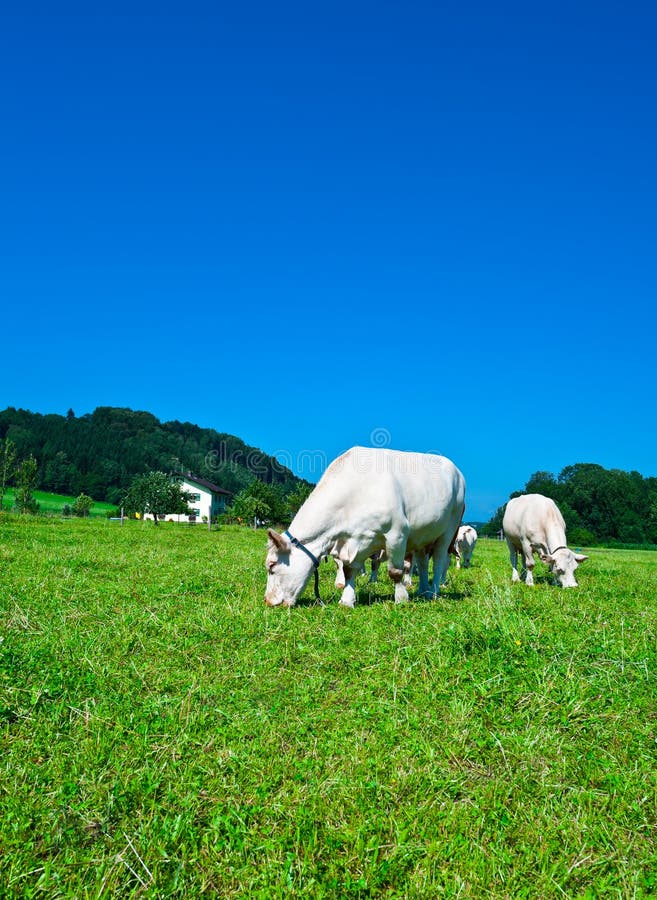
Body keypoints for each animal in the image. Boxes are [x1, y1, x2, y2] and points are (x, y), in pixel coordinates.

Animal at [265, 446, 466, 608]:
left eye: (272, 565)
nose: (267, 601)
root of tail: (456, 470)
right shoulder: (356, 538)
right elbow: (349, 571)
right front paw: (346, 600)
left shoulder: (397, 533)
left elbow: (395, 571)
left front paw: (401, 598)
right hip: (423, 535)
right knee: (423, 561)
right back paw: (423, 591)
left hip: (450, 527)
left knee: (439, 561)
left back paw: (433, 592)